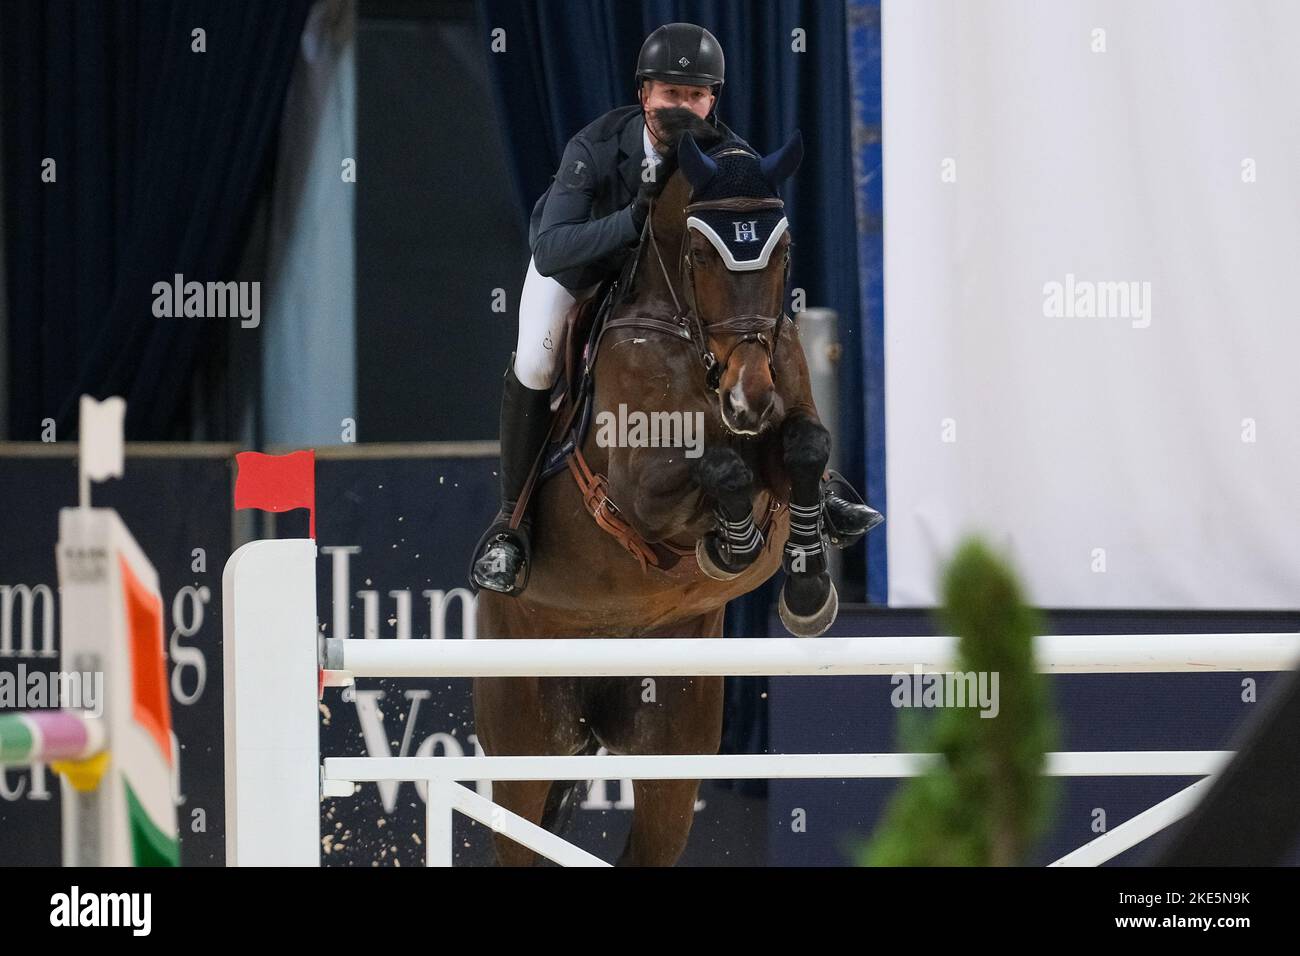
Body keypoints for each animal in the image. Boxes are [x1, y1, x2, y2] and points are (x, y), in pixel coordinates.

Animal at [474, 116, 841, 866]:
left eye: (783, 250)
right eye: (701, 256)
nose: (747, 397)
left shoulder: (786, 411)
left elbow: (803, 451)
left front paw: (808, 583)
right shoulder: (637, 490)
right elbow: (720, 468)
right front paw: (731, 546)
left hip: (673, 747)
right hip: (525, 743)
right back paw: (504, 552)